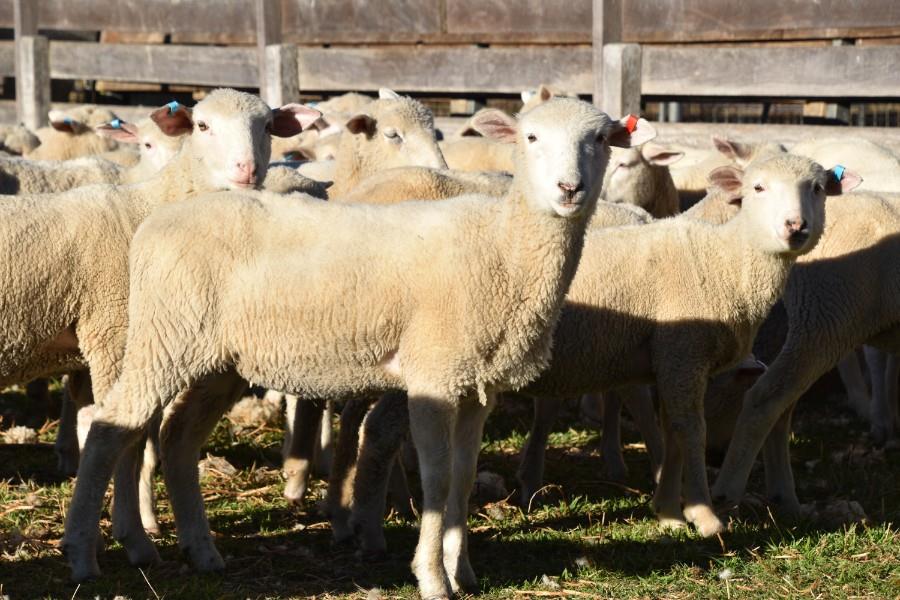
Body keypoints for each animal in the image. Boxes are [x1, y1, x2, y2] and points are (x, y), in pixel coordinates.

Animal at [62, 99, 655, 597]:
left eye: (600, 138)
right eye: (531, 136)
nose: (568, 188)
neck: (503, 246)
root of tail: (155, 221)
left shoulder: (475, 386)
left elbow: (463, 480)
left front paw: (463, 571)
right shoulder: (435, 376)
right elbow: (438, 479)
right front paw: (433, 579)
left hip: (218, 358)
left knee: (179, 437)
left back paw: (202, 552)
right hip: (164, 334)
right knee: (110, 426)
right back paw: (86, 555)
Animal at [711, 189, 900, 515]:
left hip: (817, 323)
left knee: (782, 405)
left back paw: (786, 500)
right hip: (827, 317)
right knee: (766, 399)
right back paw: (728, 492)